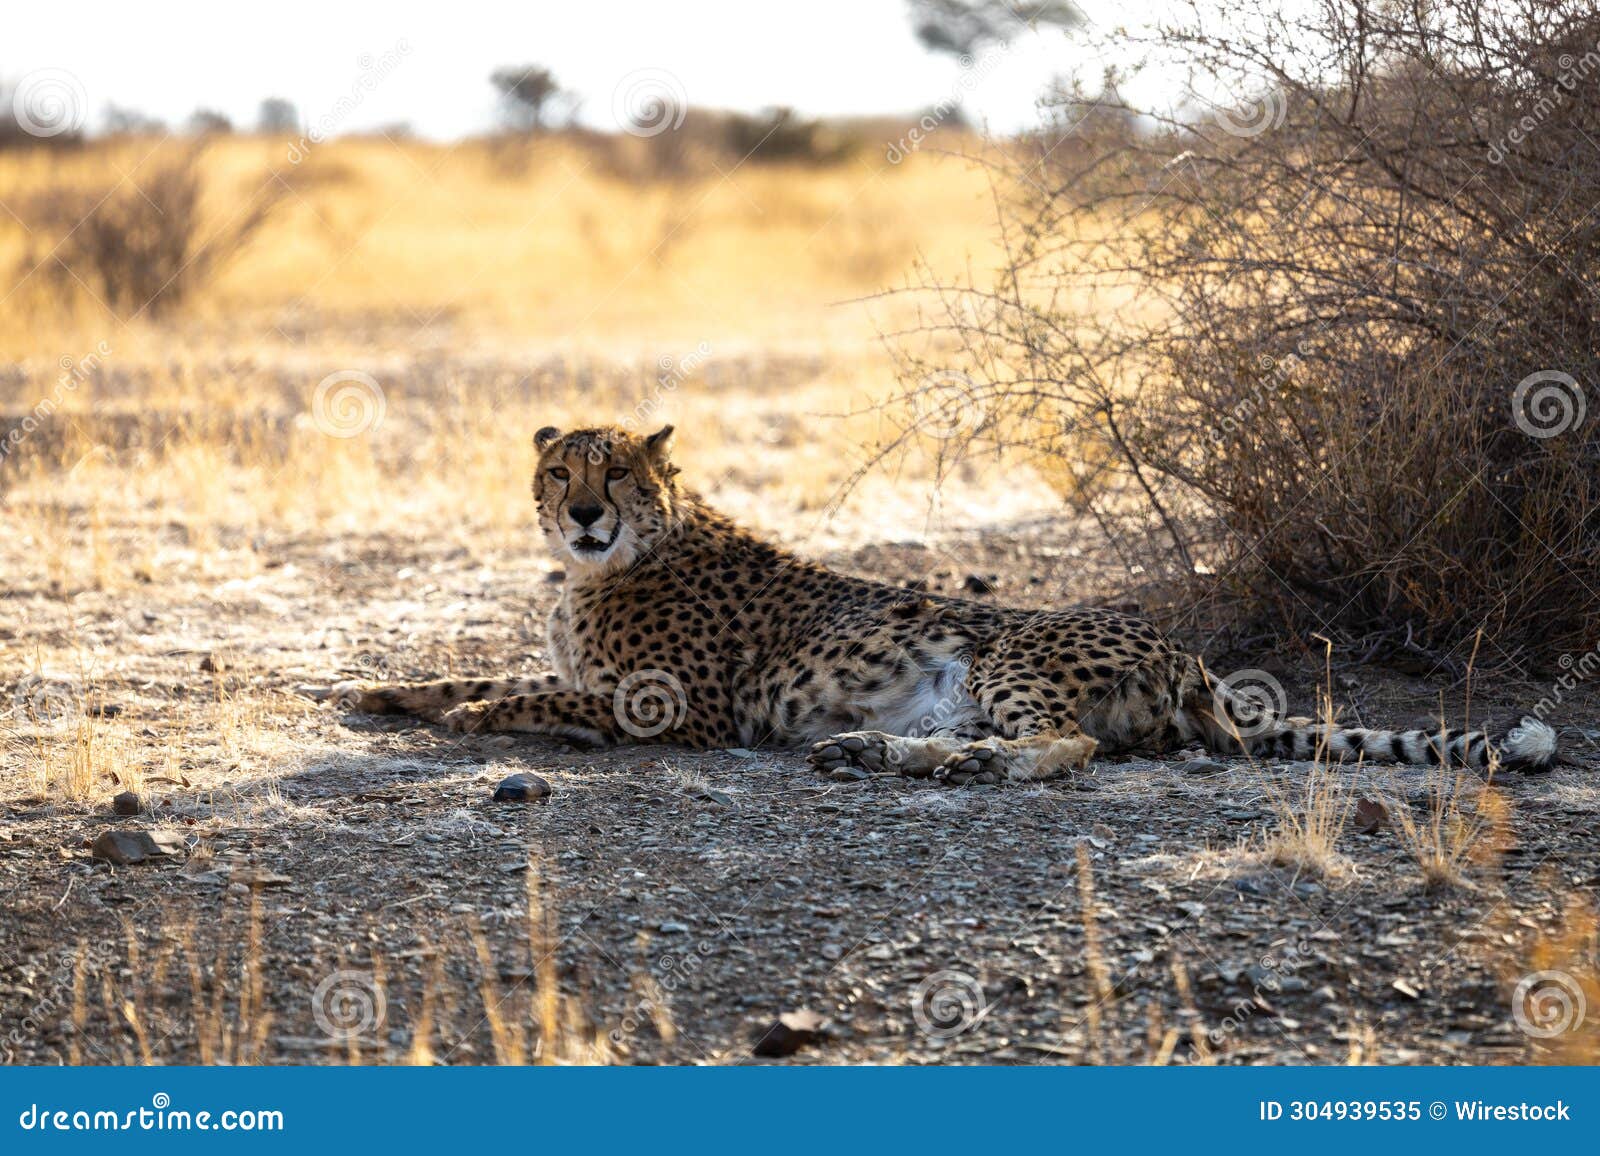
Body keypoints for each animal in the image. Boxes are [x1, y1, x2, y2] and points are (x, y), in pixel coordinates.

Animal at [325, 423, 1558, 784]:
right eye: (559, 471)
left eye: (619, 472)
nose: (584, 513)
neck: (617, 561)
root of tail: (1188, 653)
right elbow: (487, 667)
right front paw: (381, 692)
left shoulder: (677, 710)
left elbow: (535, 694)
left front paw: (472, 719)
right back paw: (879, 752)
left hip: (1007, 655)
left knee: (1064, 749)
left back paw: (955, 766)